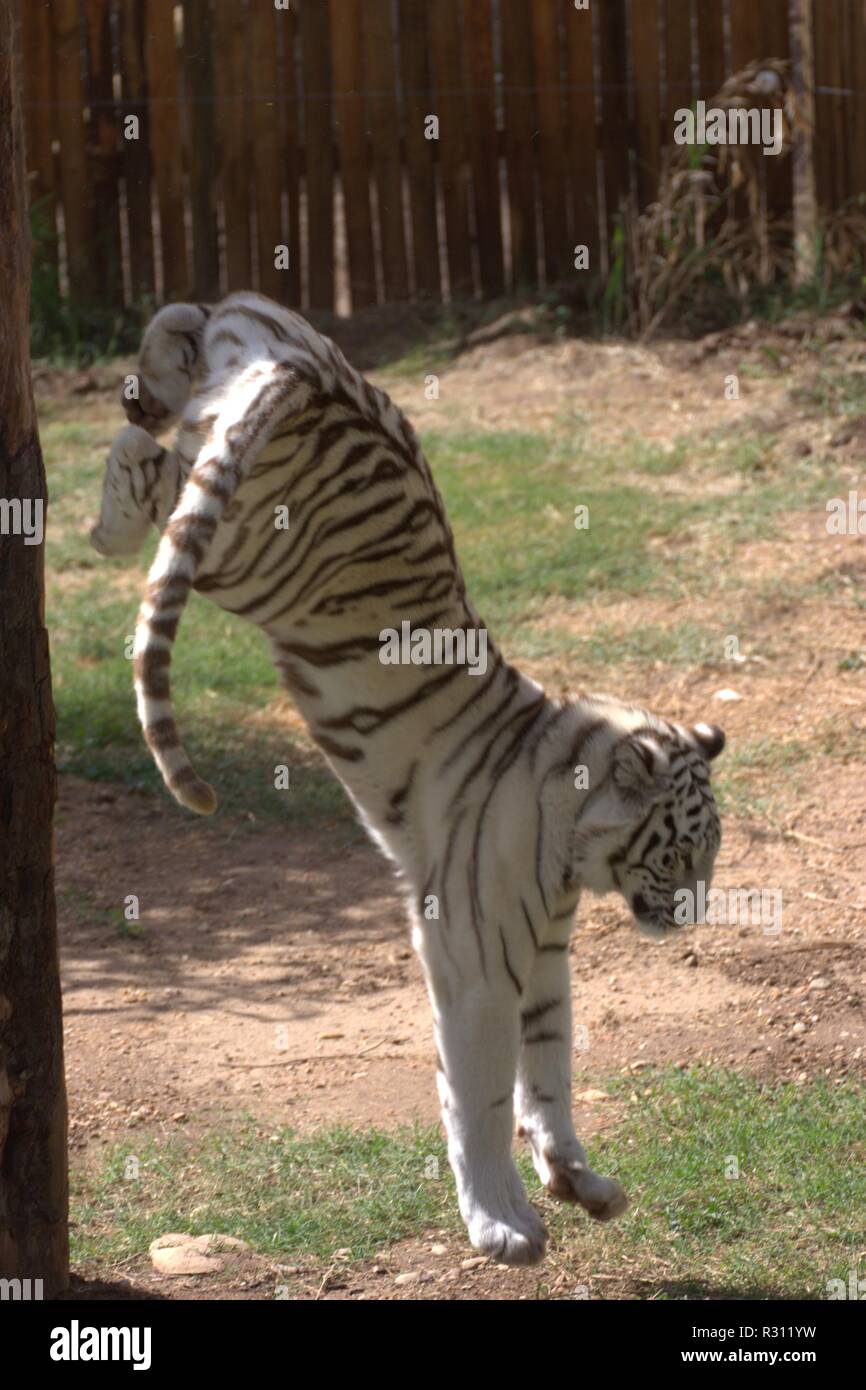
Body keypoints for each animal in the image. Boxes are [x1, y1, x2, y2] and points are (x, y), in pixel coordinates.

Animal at [90, 292, 725, 1265]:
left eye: (708, 856)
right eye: (680, 854)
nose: (693, 915)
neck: (571, 844)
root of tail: (303, 371)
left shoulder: (546, 959)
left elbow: (552, 1069)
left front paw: (580, 1181)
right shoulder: (476, 956)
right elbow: (486, 1092)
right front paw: (502, 1223)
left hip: (236, 405)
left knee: (181, 330)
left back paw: (149, 381)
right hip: (252, 555)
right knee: (153, 477)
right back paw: (107, 514)